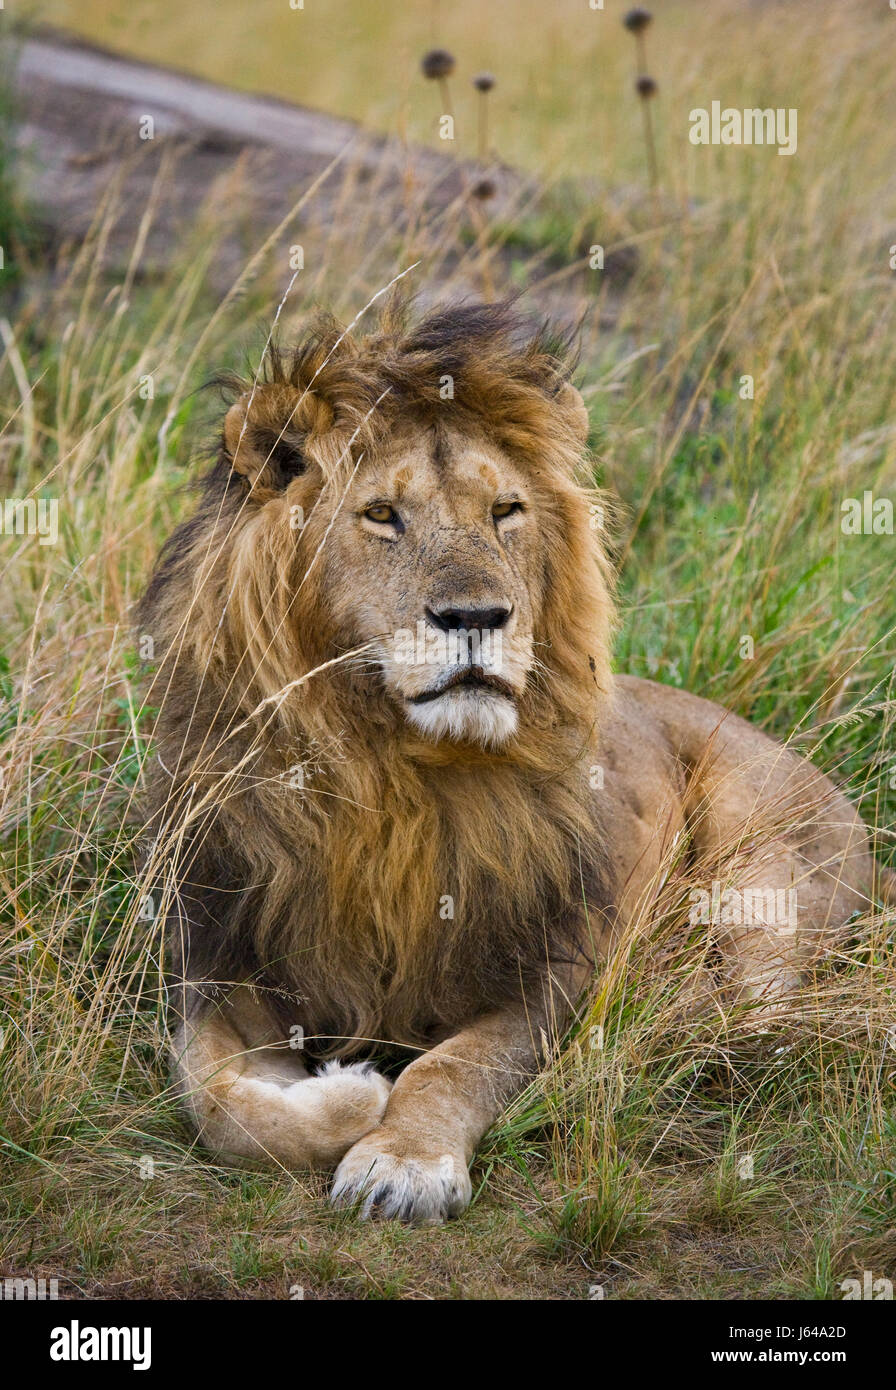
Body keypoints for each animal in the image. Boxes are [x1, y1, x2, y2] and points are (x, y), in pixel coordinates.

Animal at [138, 299, 890, 1224]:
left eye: (505, 510)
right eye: (381, 515)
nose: (477, 616)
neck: (391, 777)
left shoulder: (552, 963)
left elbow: (453, 1065)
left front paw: (400, 1158)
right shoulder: (219, 957)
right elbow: (217, 1102)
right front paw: (346, 1094)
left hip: (765, 878)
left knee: (744, 1022)